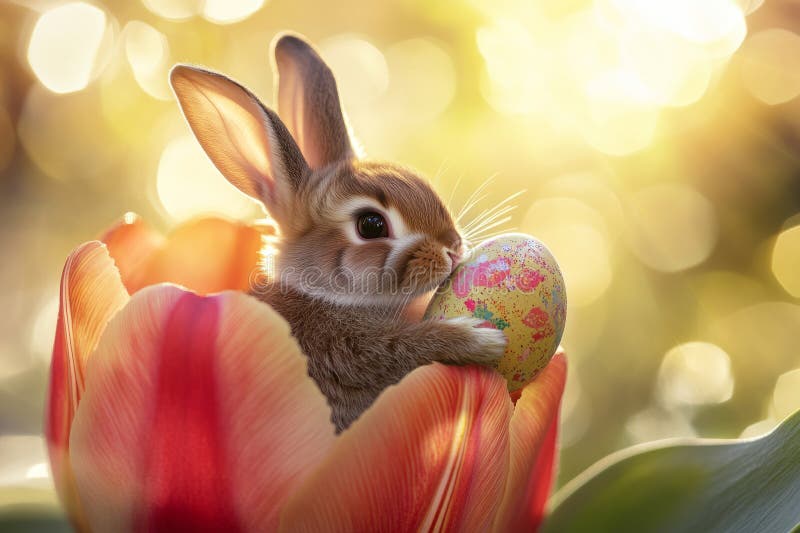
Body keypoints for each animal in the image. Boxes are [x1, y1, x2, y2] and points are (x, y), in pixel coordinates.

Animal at [169, 32, 507, 432]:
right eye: (371, 224)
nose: (453, 249)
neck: (330, 296)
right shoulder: (349, 353)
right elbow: (403, 350)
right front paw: (481, 339)